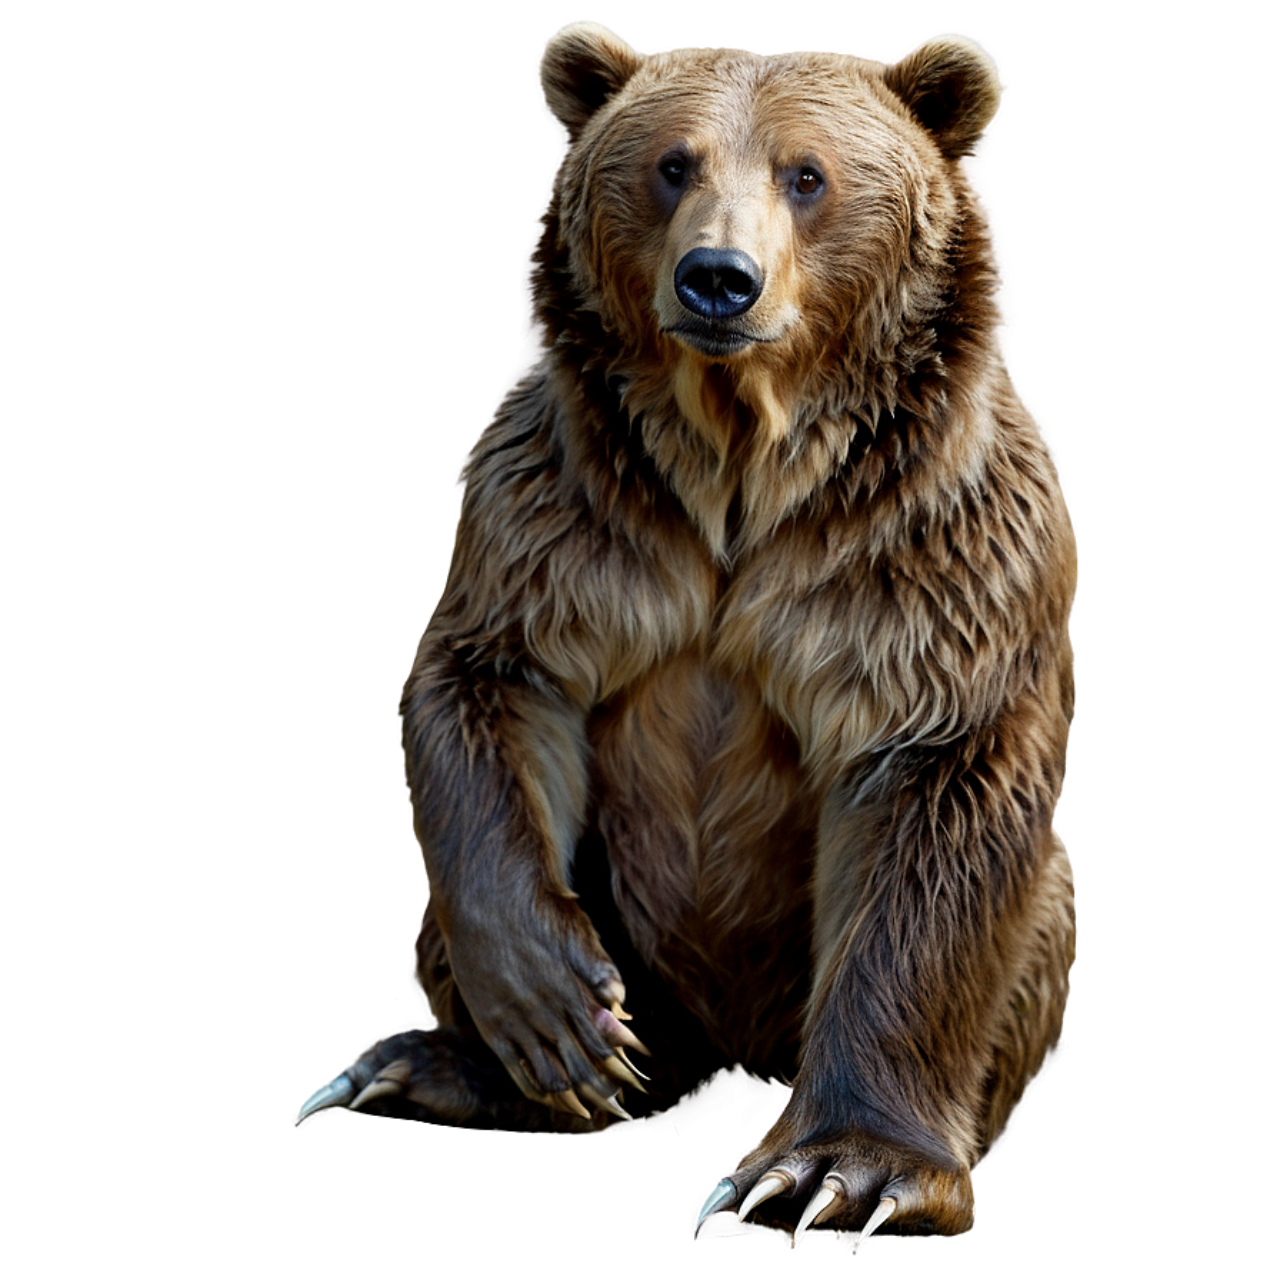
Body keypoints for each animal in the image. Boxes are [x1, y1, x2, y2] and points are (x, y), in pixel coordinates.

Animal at [294, 23, 1077, 1249]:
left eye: (807, 175)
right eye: (671, 163)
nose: (718, 277)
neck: (736, 458)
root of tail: (733, 1047)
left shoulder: (923, 540)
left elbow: (939, 784)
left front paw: (831, 1173)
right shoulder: (566, 506)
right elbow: (484, 681)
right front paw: (564, 1021)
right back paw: (432, 1067)